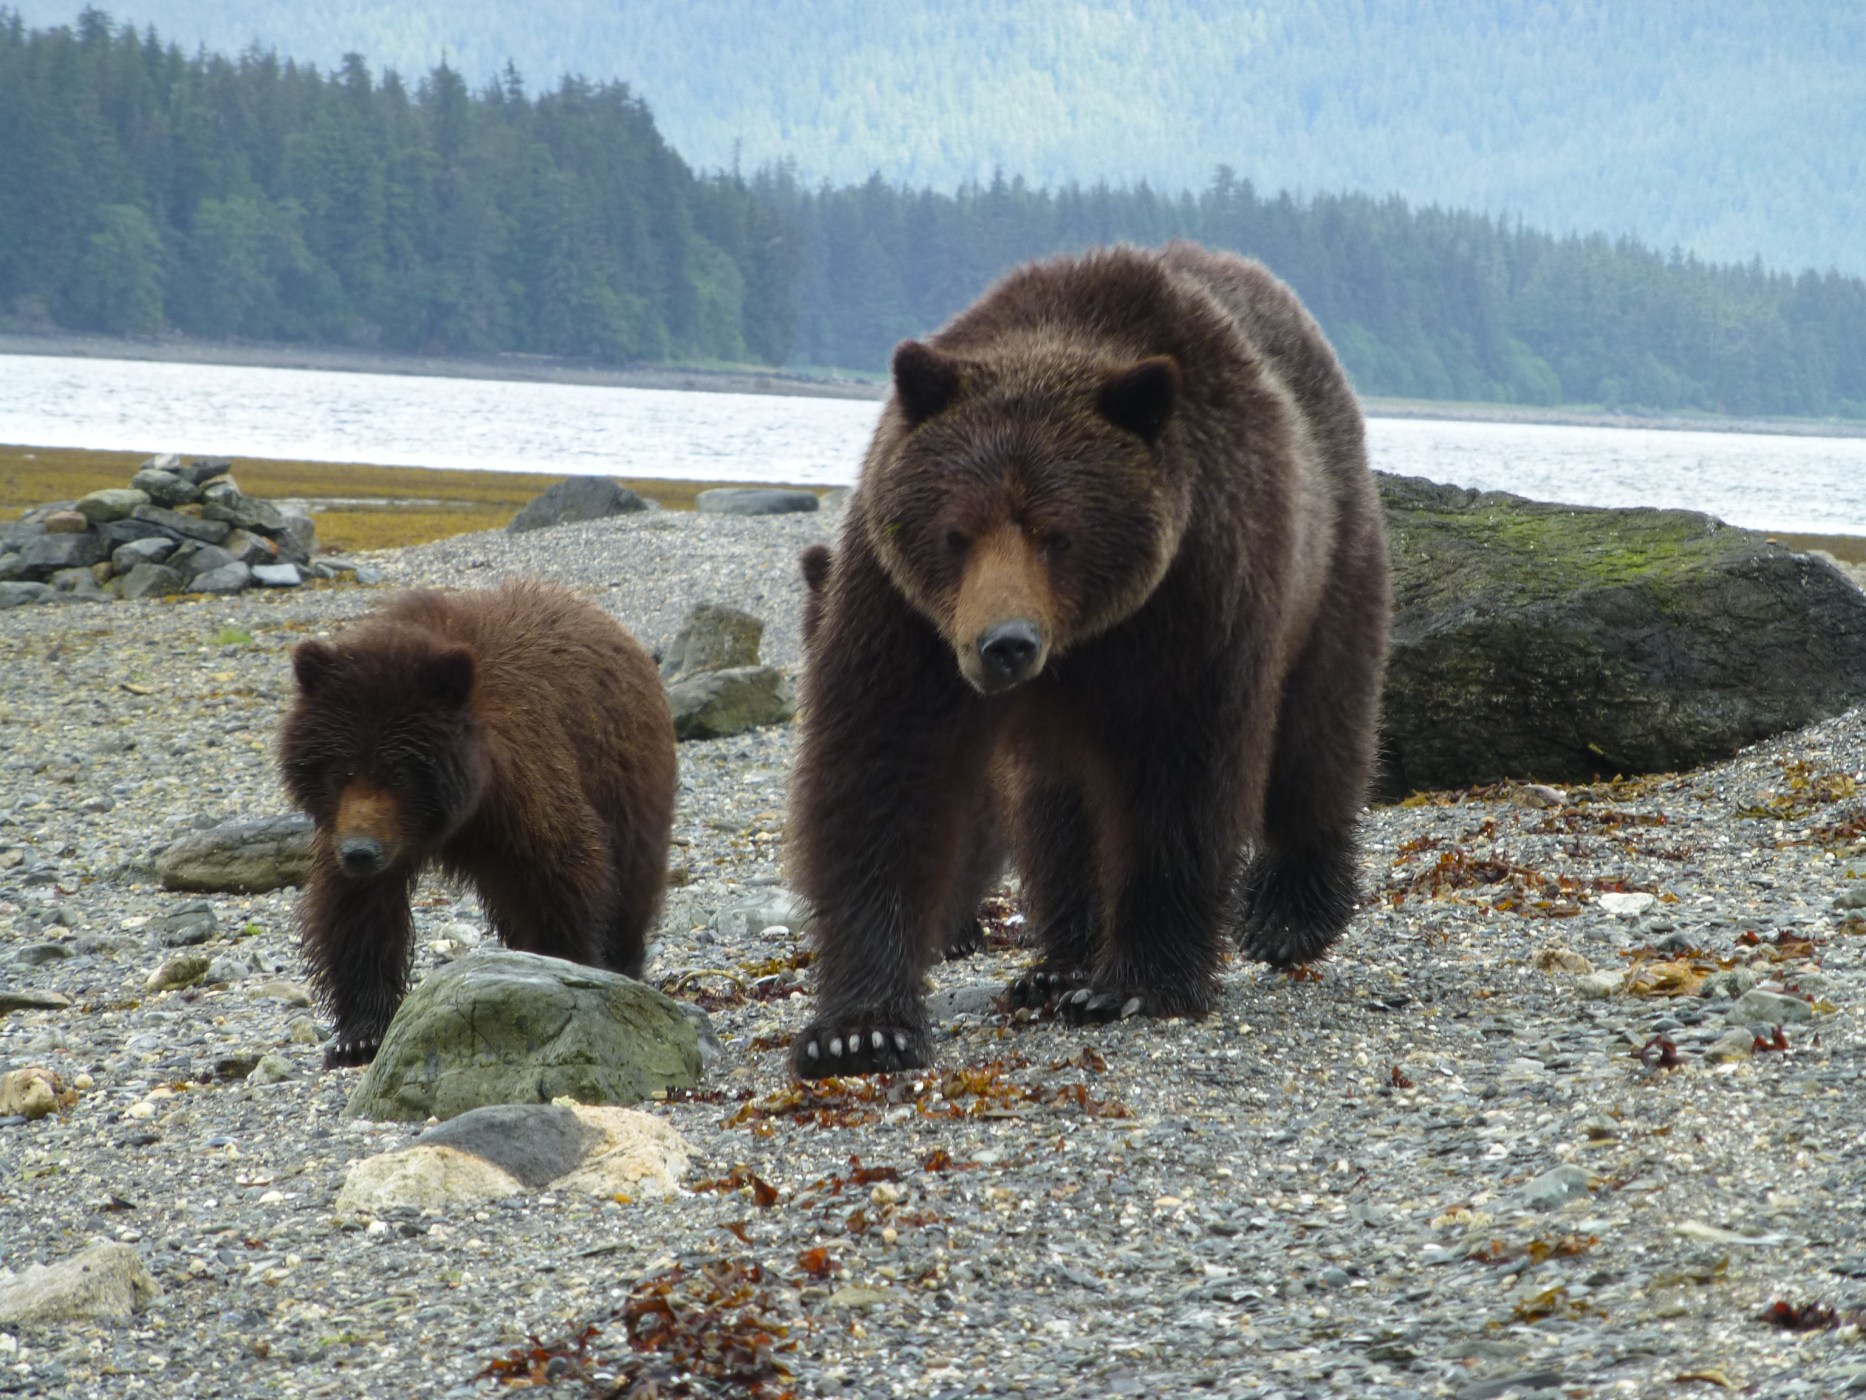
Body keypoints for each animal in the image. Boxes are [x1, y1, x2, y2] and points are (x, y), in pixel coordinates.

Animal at [277, 579, 677, 1068]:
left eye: (398, 772)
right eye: (340, 770)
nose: (360, 853)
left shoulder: (526, 785)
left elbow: (563, 869)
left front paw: (567, 965)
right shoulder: (348, 831)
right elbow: (355, 912)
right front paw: (360, 1037)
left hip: (624, 773)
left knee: (633, 871)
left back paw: (624, 960)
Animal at [787, 241, 1390, 1077]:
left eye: (1056, 533)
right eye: (957, 531)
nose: (1005, 643)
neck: (1083, 642)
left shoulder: (1195, 600)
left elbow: (1181, 780)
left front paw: (1135, 985)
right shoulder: (903, 617)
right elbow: (880, 779)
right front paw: (860, 1028)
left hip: (1329, 565)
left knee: (1318, 732)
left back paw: (1288, 916)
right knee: (1057, 810)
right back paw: (1060, 959)